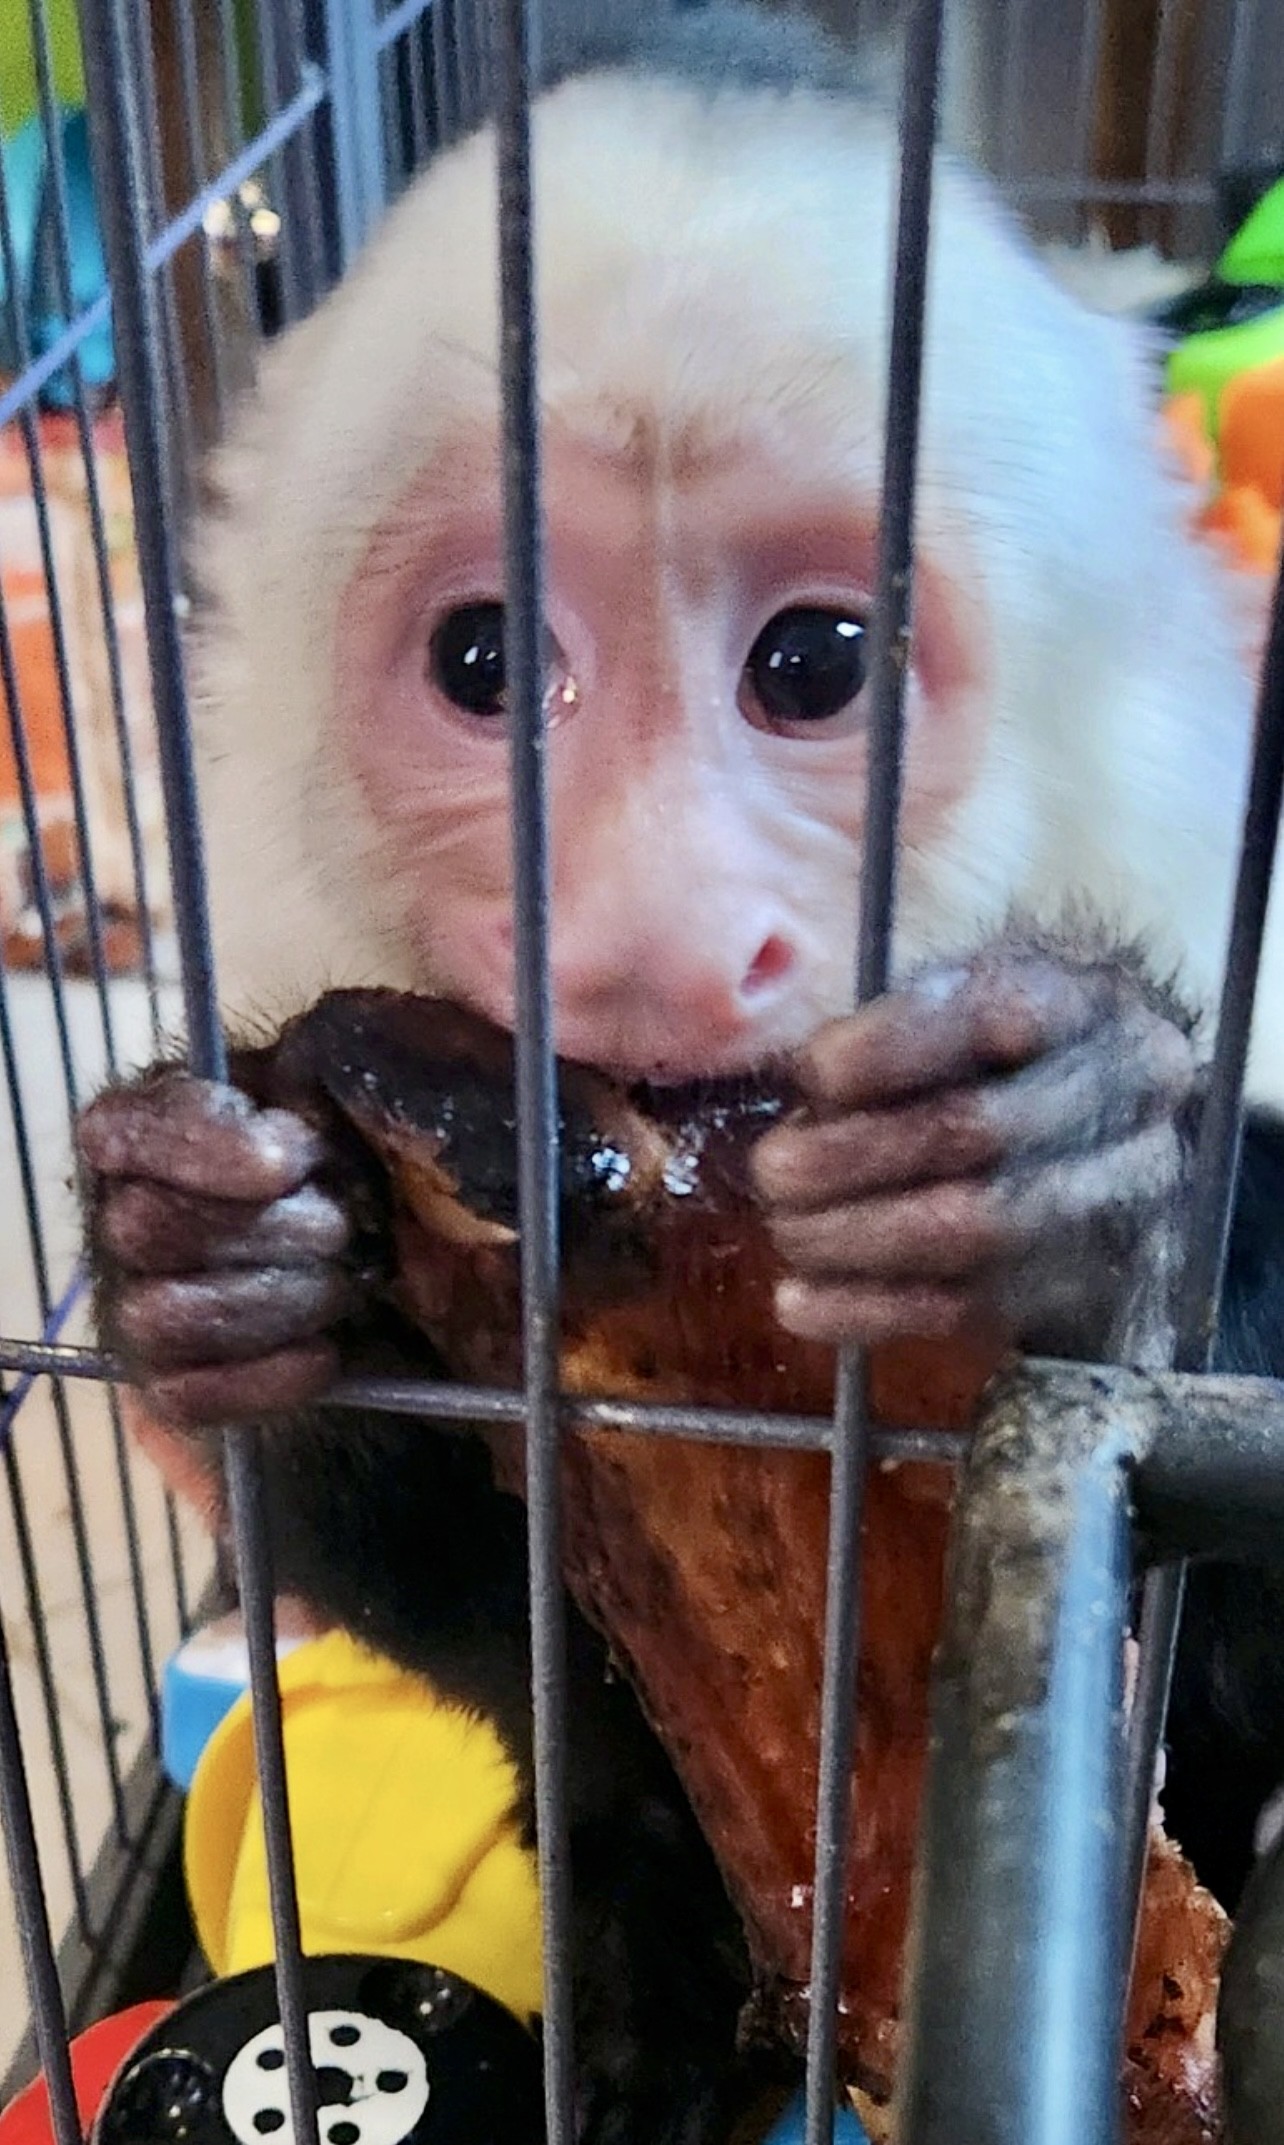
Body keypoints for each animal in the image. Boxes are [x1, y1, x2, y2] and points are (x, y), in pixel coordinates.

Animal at [75, 3, 1284, 2136]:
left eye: (813, 665)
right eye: (484, 664)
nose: (647, 938)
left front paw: (1070, 1166)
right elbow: (451, 1619)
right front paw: (207, 1272)